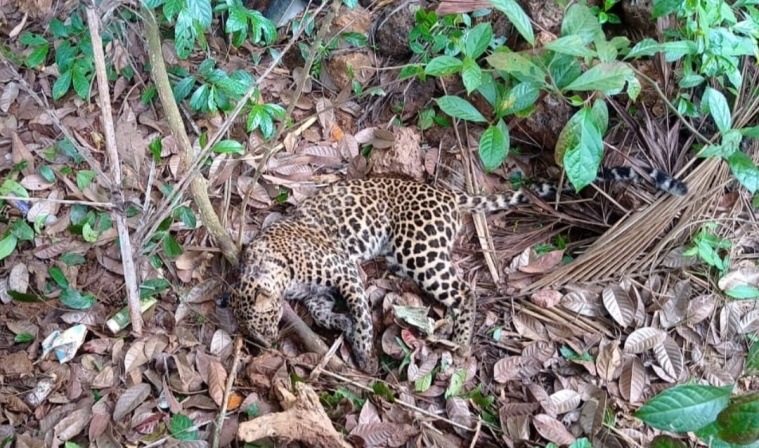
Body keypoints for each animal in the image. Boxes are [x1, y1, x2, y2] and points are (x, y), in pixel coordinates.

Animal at [230, 166, 687, 372]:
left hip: (419, 250)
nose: (266, 344)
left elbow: (359, 313)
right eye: (251, 331)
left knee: (466, 290)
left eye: (263, 322)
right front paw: (340, 325)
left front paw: (364, 353)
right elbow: (328, 312)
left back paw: (462, 344)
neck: (272, 266)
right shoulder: (319, 294)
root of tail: (449, 195)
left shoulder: (343, 270)